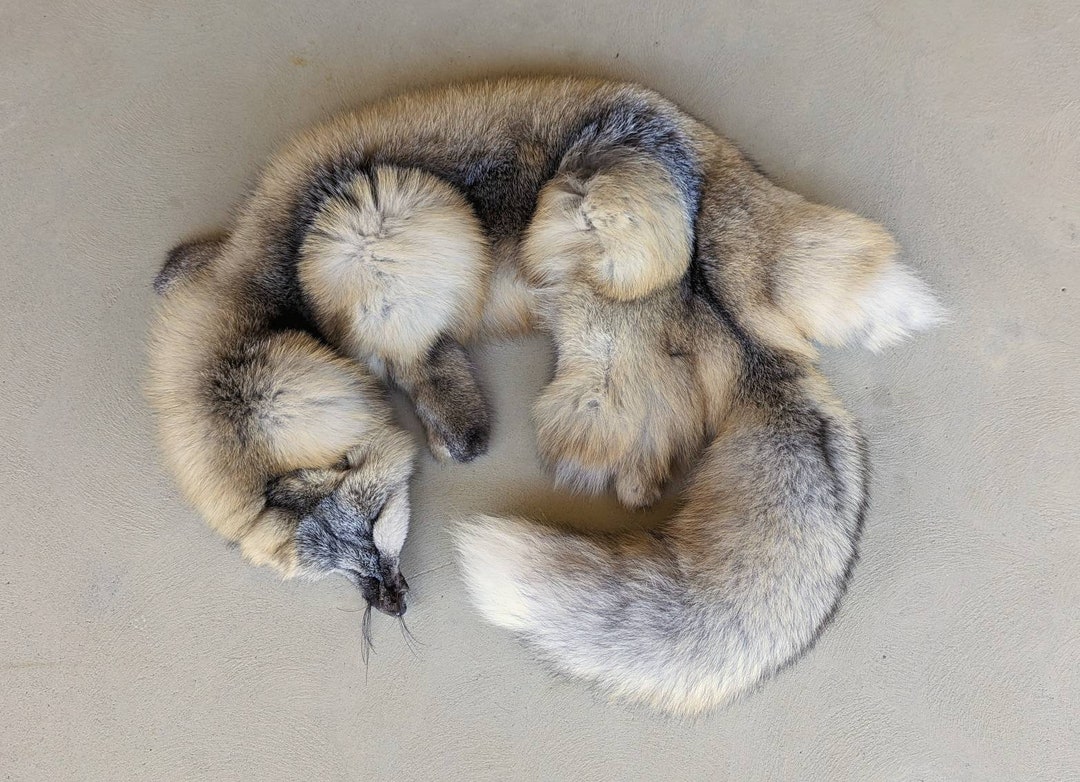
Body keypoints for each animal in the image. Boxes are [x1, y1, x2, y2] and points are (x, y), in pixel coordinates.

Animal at [148, 76, 943, 709]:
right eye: (337, 570)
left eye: (376, 528)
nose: (395, 603)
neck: (262, 283)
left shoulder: (373, 222)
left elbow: (413, 345)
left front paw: (453, 422)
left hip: (589, 232)